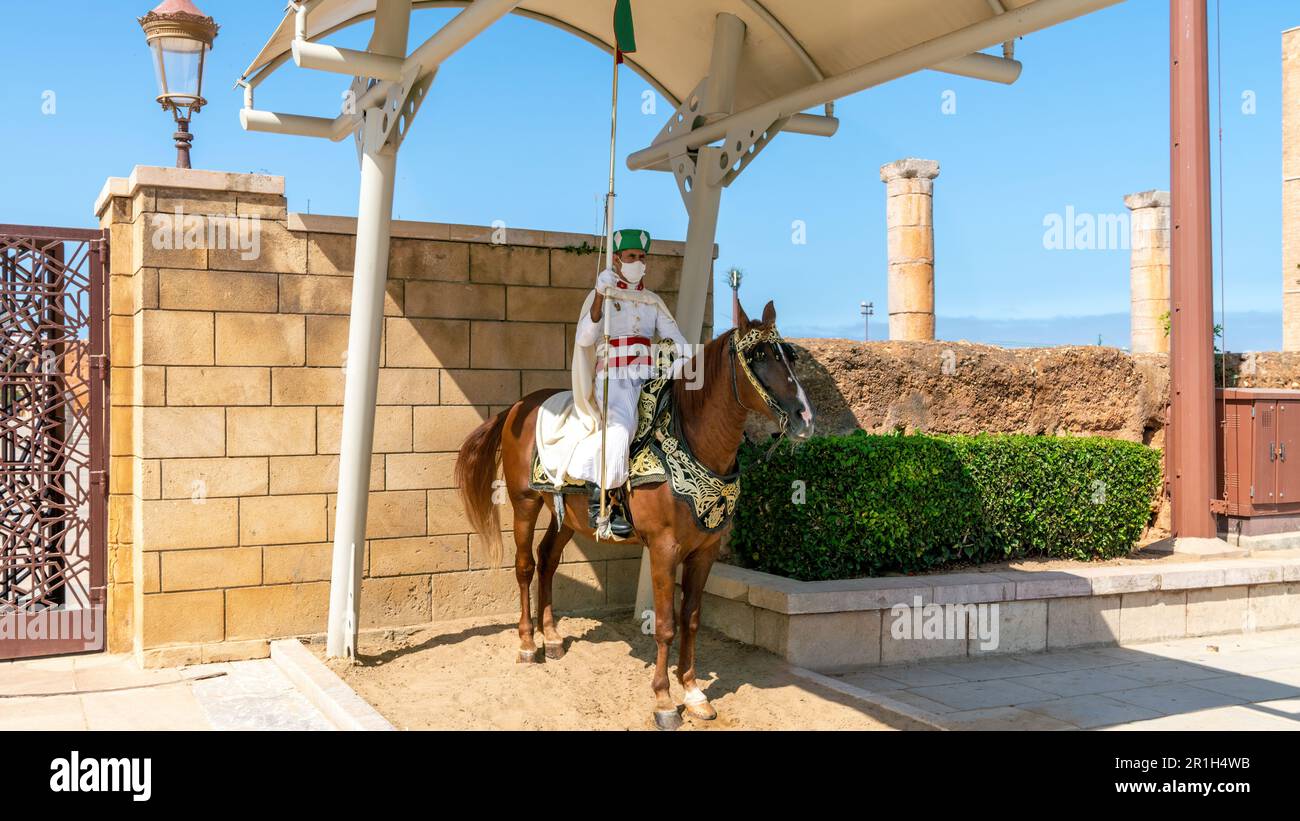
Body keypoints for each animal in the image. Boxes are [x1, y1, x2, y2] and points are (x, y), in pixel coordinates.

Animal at [454, 300, 815, 729]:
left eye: (789, 355)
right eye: (757, 355)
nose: (804, 417)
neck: (693, 440)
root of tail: (519, 406)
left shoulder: (705, 551)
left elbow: (691, 620)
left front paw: (693, 691)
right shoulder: (663, 549)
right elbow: (666, 625)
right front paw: (663, 700)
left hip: (568, 517)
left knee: (548, 560)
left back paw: (552, 636)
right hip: (524, 503)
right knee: (525, 565)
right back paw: (527, 642)